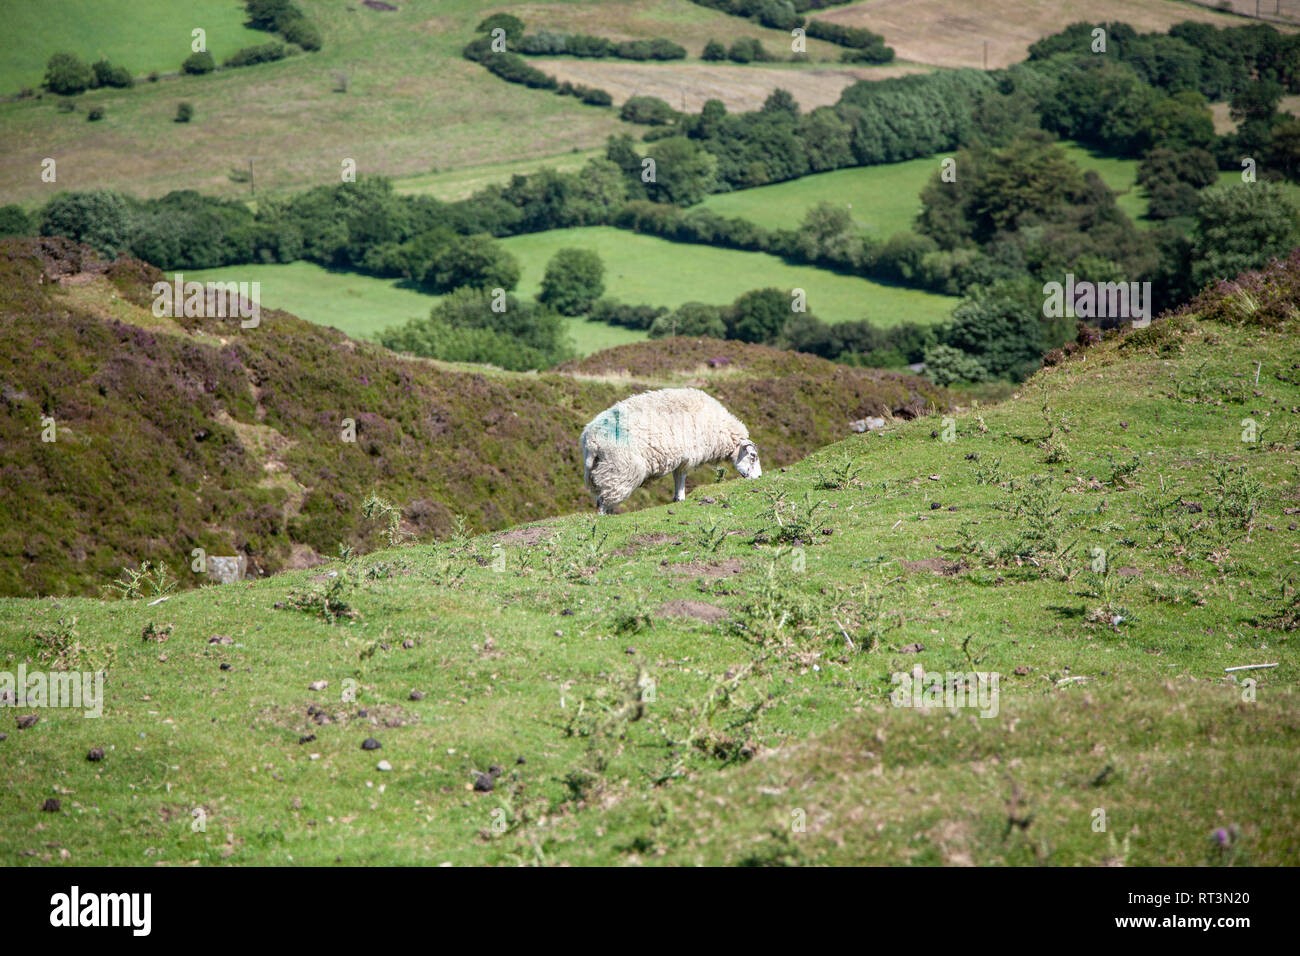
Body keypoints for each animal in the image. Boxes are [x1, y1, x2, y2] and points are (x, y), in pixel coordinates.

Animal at [580, 387, 761, 514]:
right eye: (753, 456)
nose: (759, 477)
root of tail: (591, 439)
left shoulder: (680, 458)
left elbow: (677, 476)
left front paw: (676, 498)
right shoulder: (688, 456)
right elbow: (681, 477)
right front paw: (680, 497)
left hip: (600, 469)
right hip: (620, 468)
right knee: (604, 500)